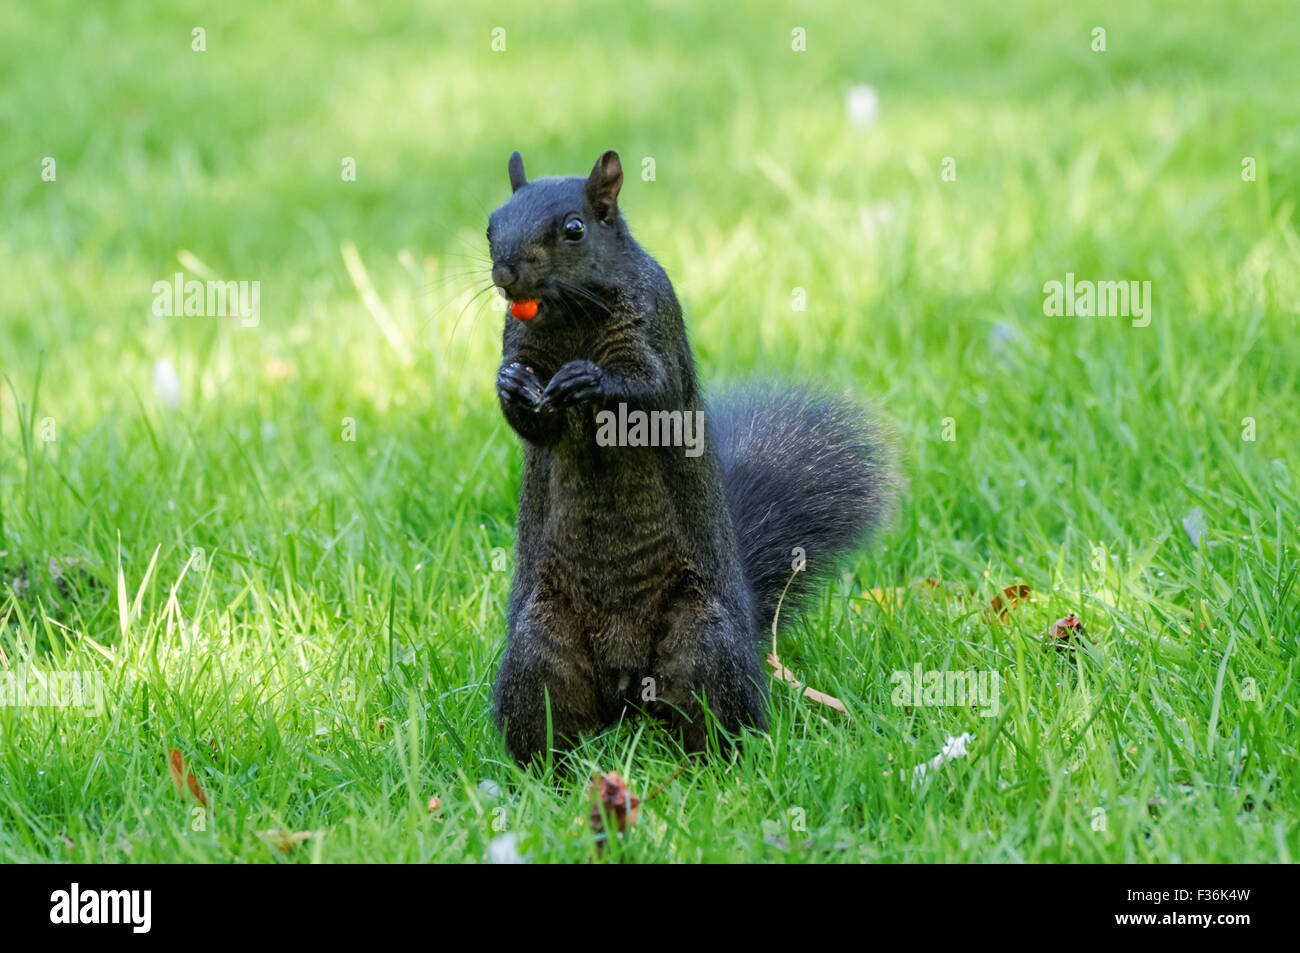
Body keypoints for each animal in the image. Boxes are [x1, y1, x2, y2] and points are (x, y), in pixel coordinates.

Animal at [488, 149, 898, 764]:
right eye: (491, 225)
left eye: (574, 229)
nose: (506, 274)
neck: (571, 316)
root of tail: (626, 691)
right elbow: (533, 421)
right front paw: (511, 386)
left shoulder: (653, 325)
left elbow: (652, 392)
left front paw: (591, 379)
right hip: (539, 650)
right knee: (548, 723)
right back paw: (542, 774)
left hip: (705, 644)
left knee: (719, 721)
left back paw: (722, 766)